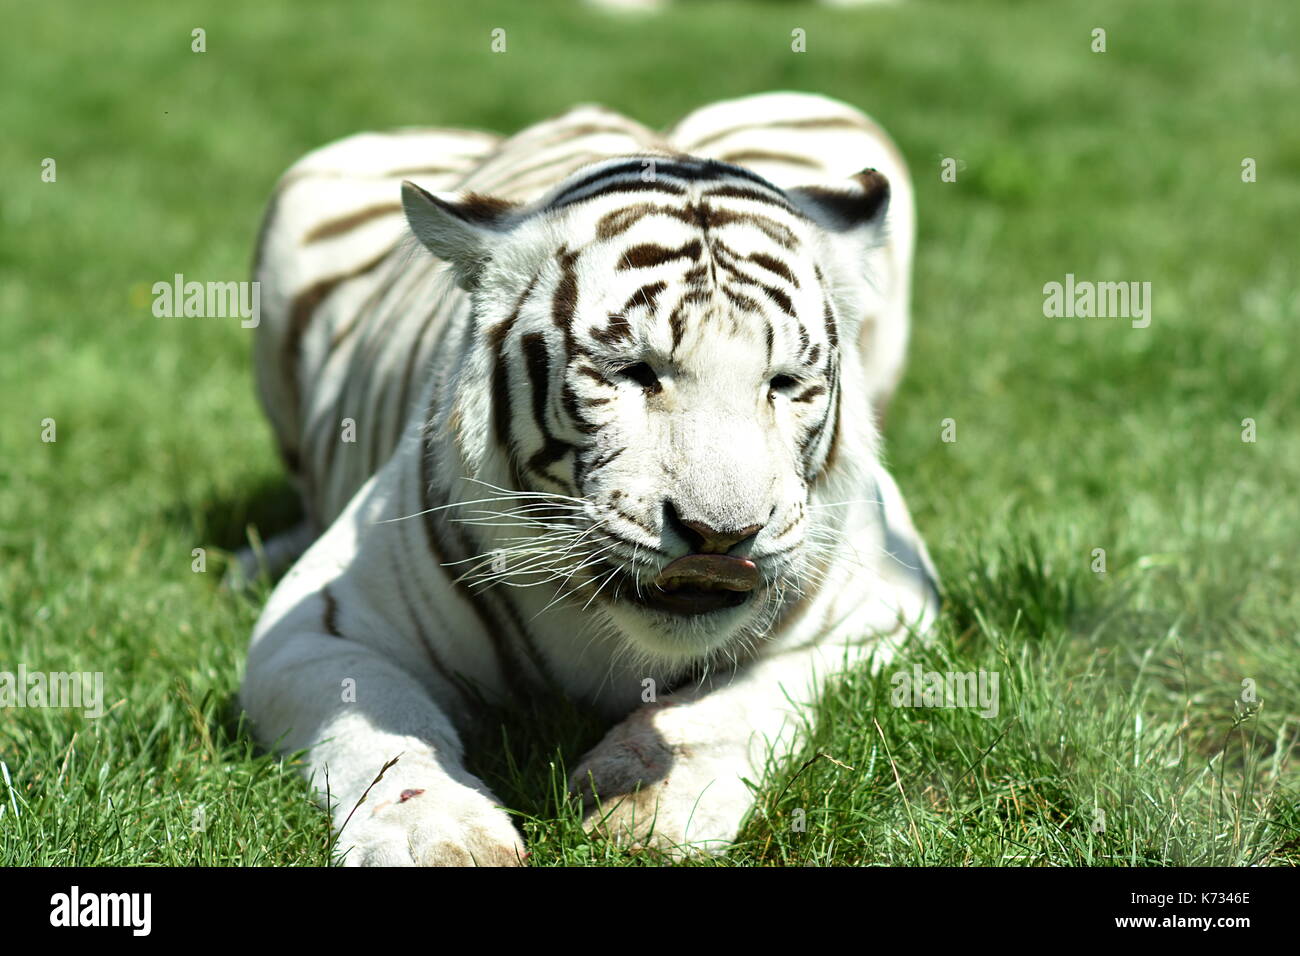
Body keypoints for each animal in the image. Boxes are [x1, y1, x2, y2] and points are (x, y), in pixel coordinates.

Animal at [240, 91, 939, 865]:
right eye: (633, 373)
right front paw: (436, 837)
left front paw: (643, 804)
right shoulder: (318, 623)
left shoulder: (883, 605)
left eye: (783, 384)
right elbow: (383, 731)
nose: (721, 538)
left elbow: (740, 700)